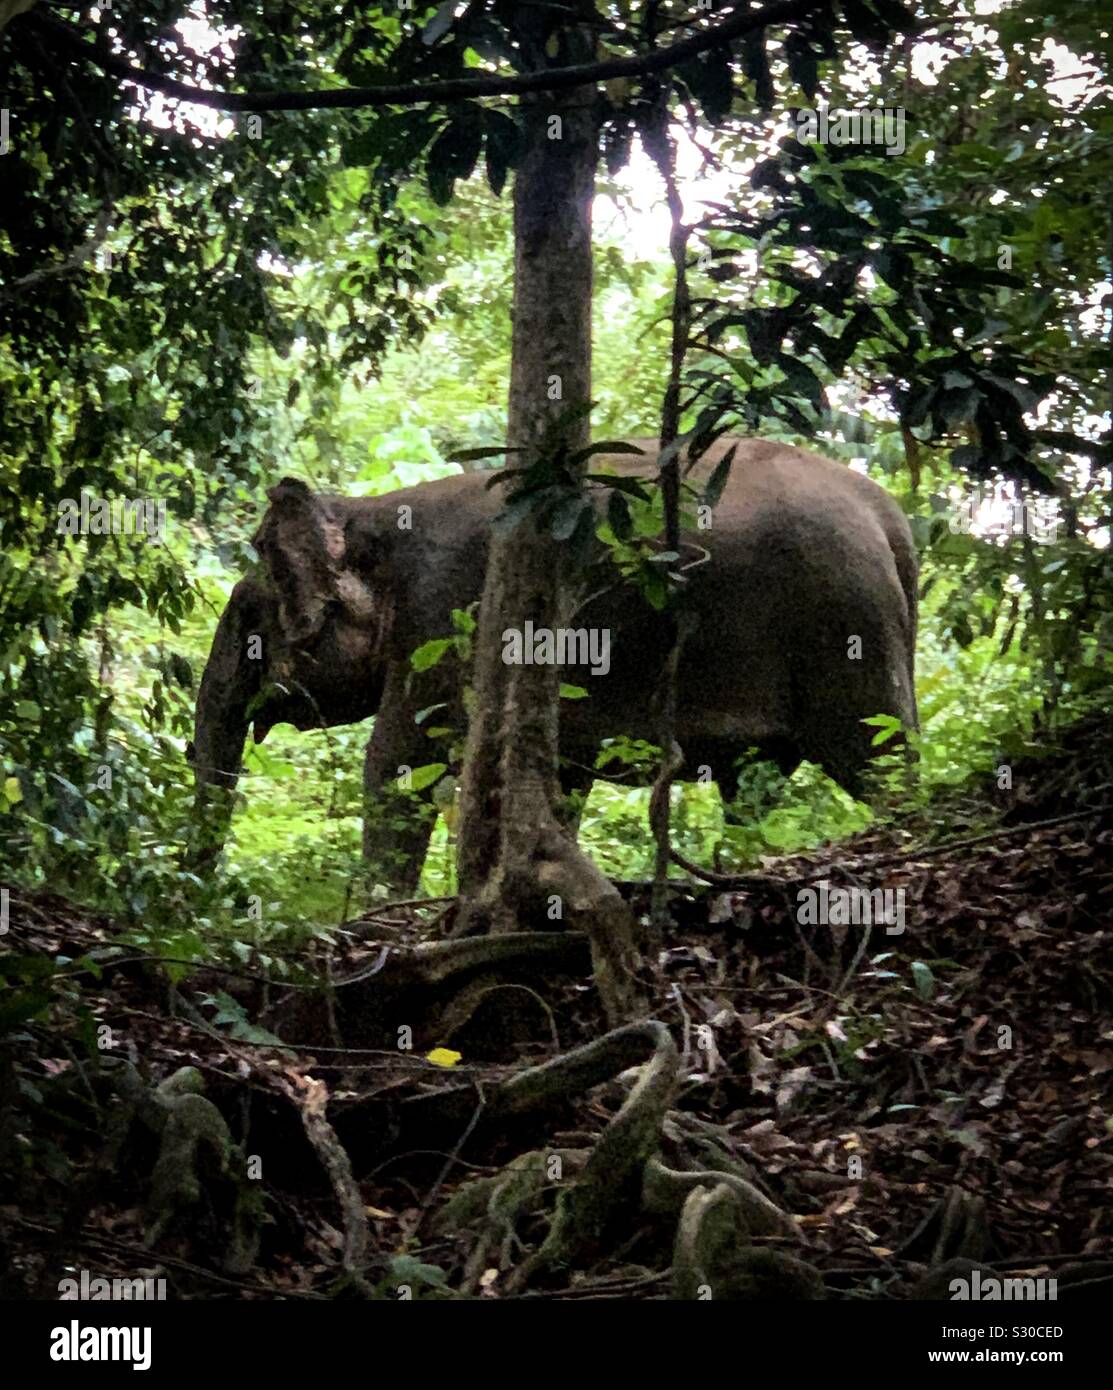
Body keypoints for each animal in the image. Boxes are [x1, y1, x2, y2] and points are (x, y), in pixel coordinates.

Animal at [191, 437, 918, 890]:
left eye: (248, 617)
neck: (368, 511)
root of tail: (893, 521)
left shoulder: (447, 617)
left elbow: (398, 763)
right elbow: (558, 778)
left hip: (845, 623)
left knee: (876, 759)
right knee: (758, 785)